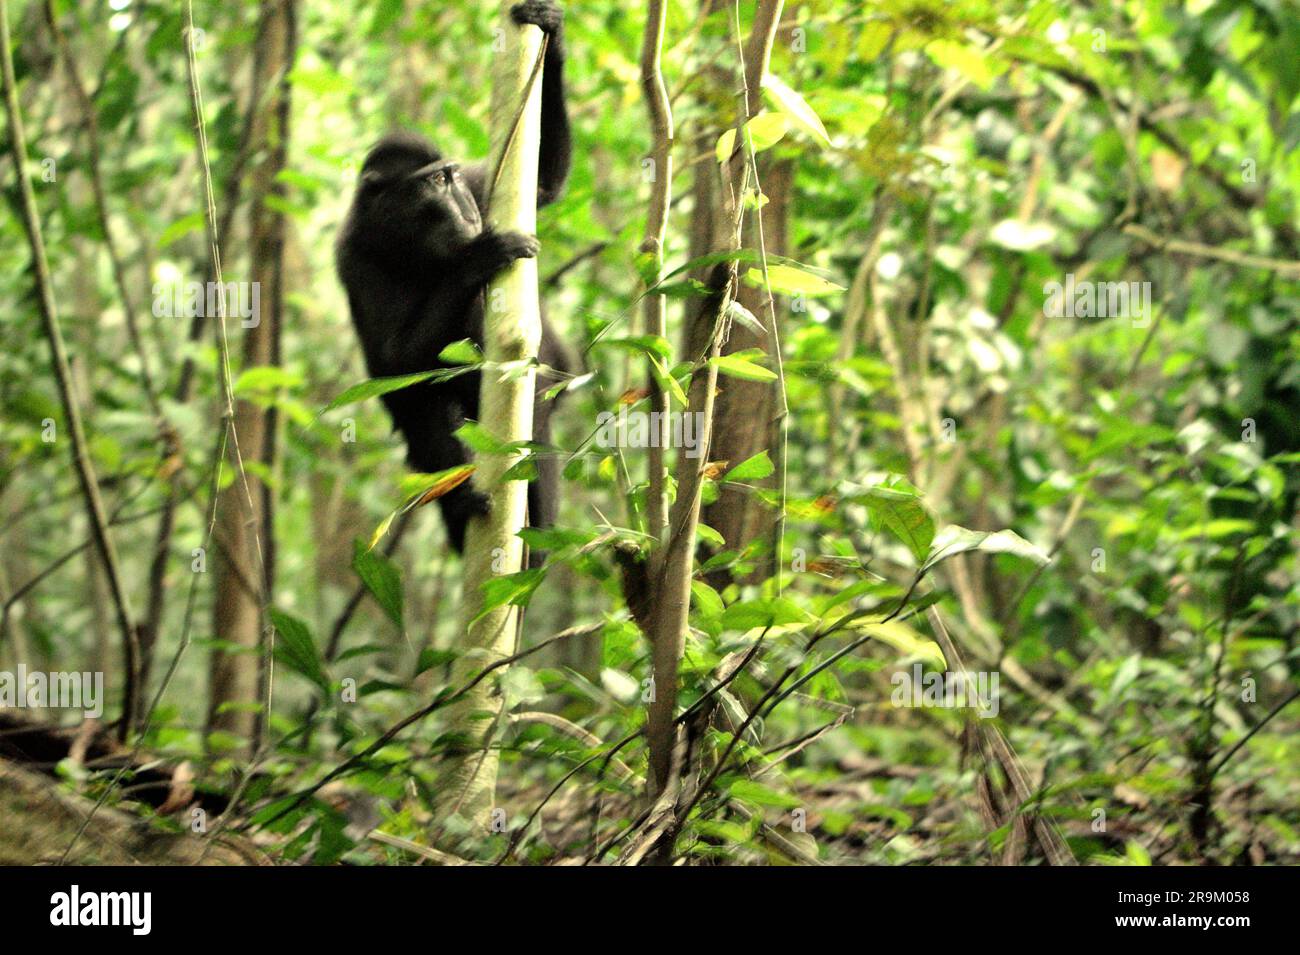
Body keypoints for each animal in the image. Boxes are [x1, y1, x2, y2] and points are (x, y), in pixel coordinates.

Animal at [335, 0, 573, 556]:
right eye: (432, 184)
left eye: (451, 177)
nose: (462, 208)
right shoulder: (355, 259)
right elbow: (395, 361)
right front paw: (478, 257)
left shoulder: (482, 184)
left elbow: (544, 185)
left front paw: (550, 30)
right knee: (426, 404)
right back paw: (463, 503)